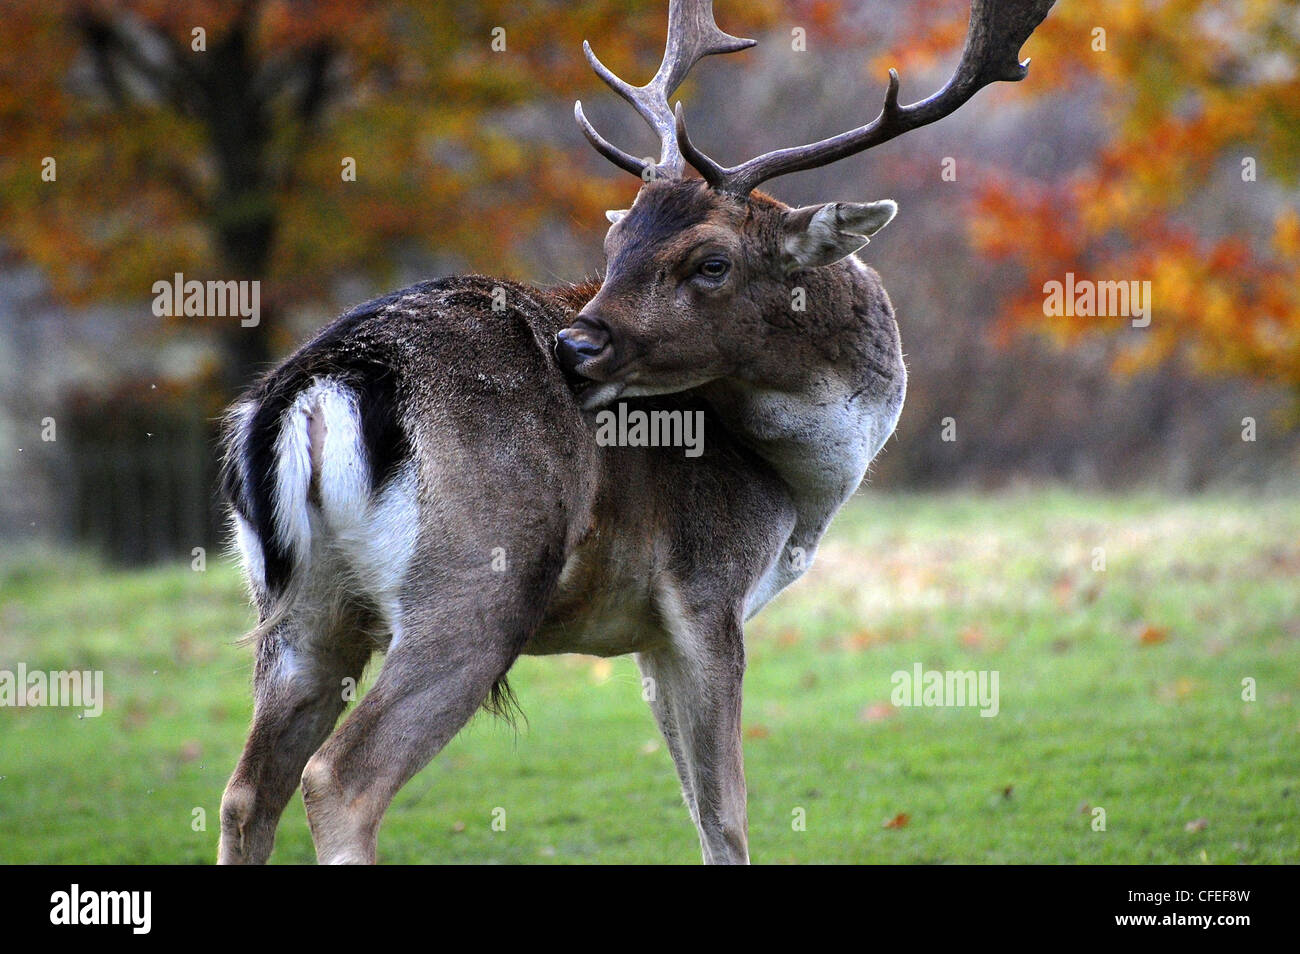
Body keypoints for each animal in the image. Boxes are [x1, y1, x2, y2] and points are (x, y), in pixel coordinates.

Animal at [216, 0, 1056, 865]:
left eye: (711, 262)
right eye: (616, 246)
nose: (570, 347)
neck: (802, 489)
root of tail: (321, 387)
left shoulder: (649, 634)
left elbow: (694, 805)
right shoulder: (707, 588)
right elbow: (727, 813)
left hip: (296, 607)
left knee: (247, 793)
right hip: (476, 583)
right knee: (341, 778)